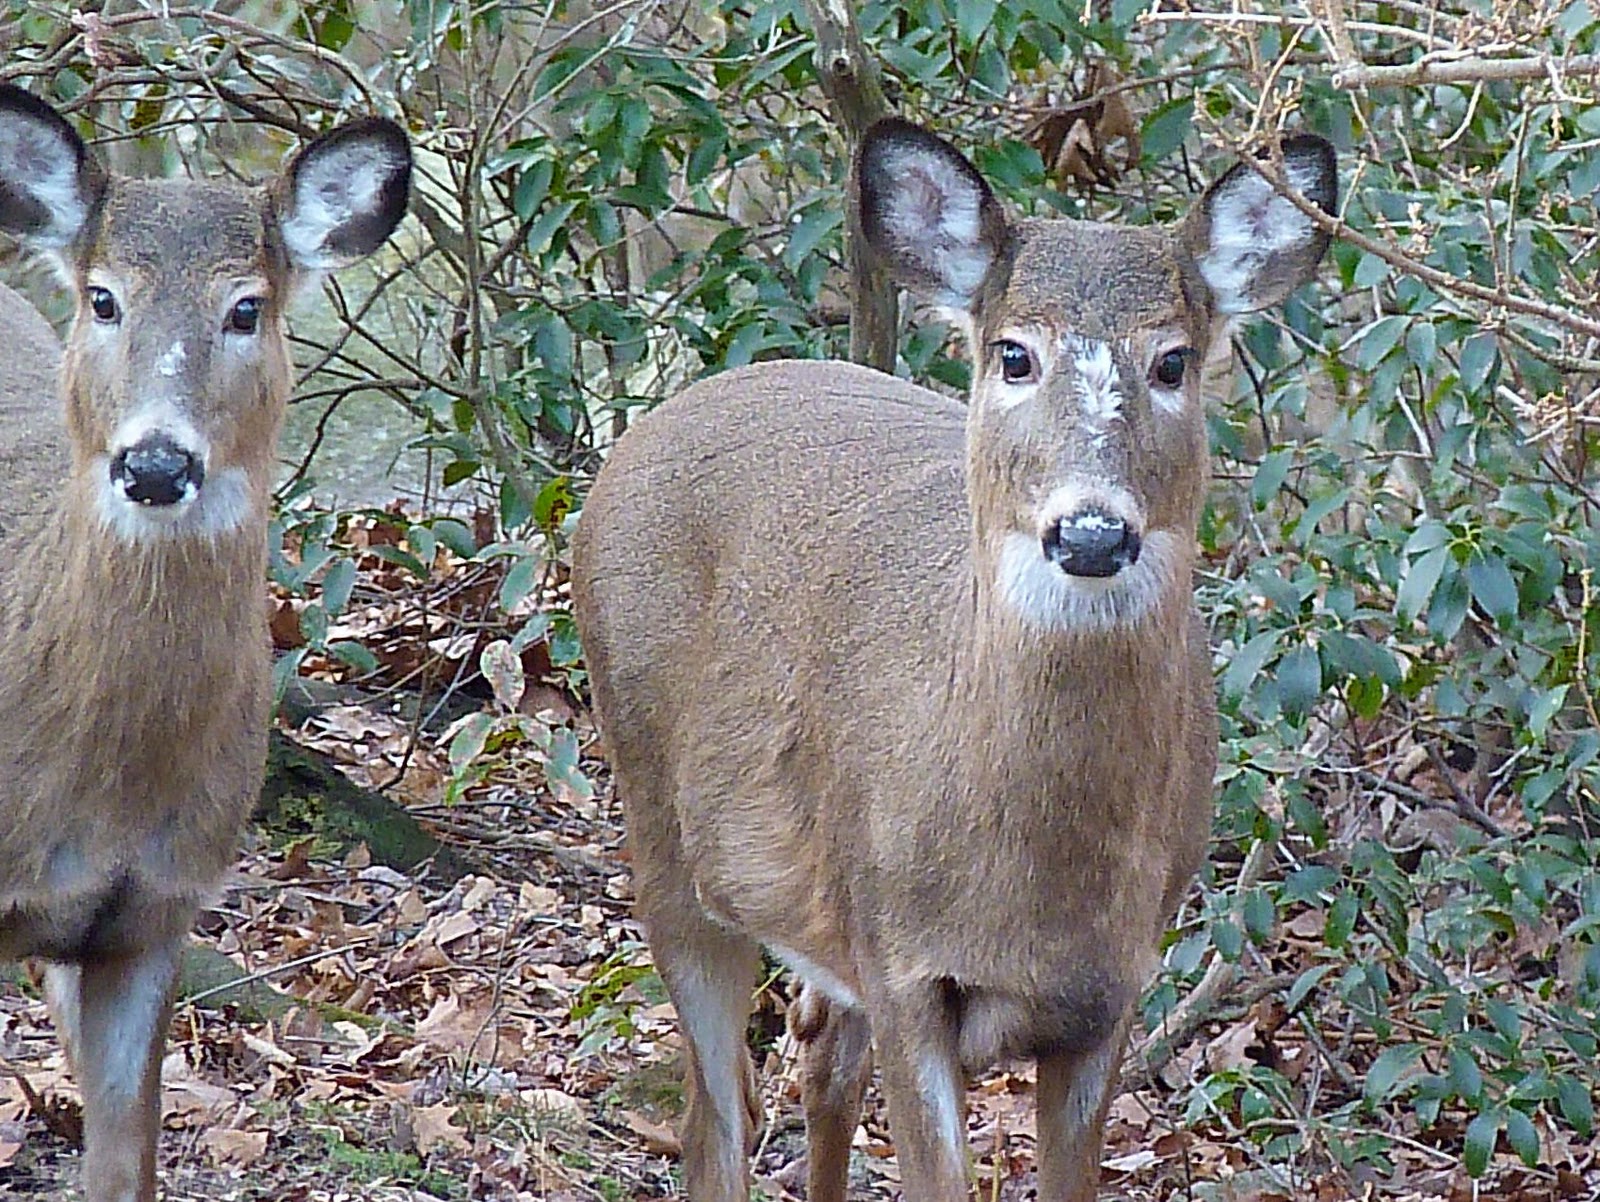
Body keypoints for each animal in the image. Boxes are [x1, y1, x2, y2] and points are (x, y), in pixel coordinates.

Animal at [571, 117, 1335, 1202]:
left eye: (1173, 361)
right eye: (1013, 353)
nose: (1091, 531)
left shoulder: (1112, 986)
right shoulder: (901, 960)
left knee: (817, 1056)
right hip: (658, 819)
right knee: (715, 1112)